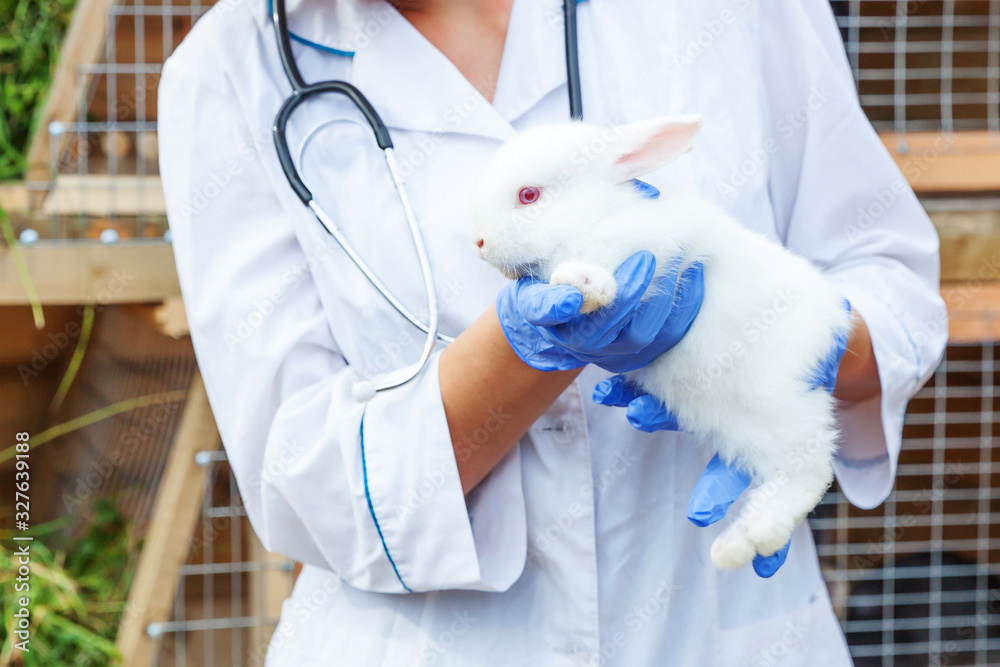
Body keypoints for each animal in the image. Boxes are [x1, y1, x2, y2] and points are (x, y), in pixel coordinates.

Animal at [469, 116, 852, 571]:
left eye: (528, 195)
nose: (477, 242)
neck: (594, 217)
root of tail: (834, 323)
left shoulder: (651, 246)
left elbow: (608, 276)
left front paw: (578, 280)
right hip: (747, 425)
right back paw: (736, 546)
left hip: (775, 399)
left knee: (811, 468)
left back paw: (751, 538)